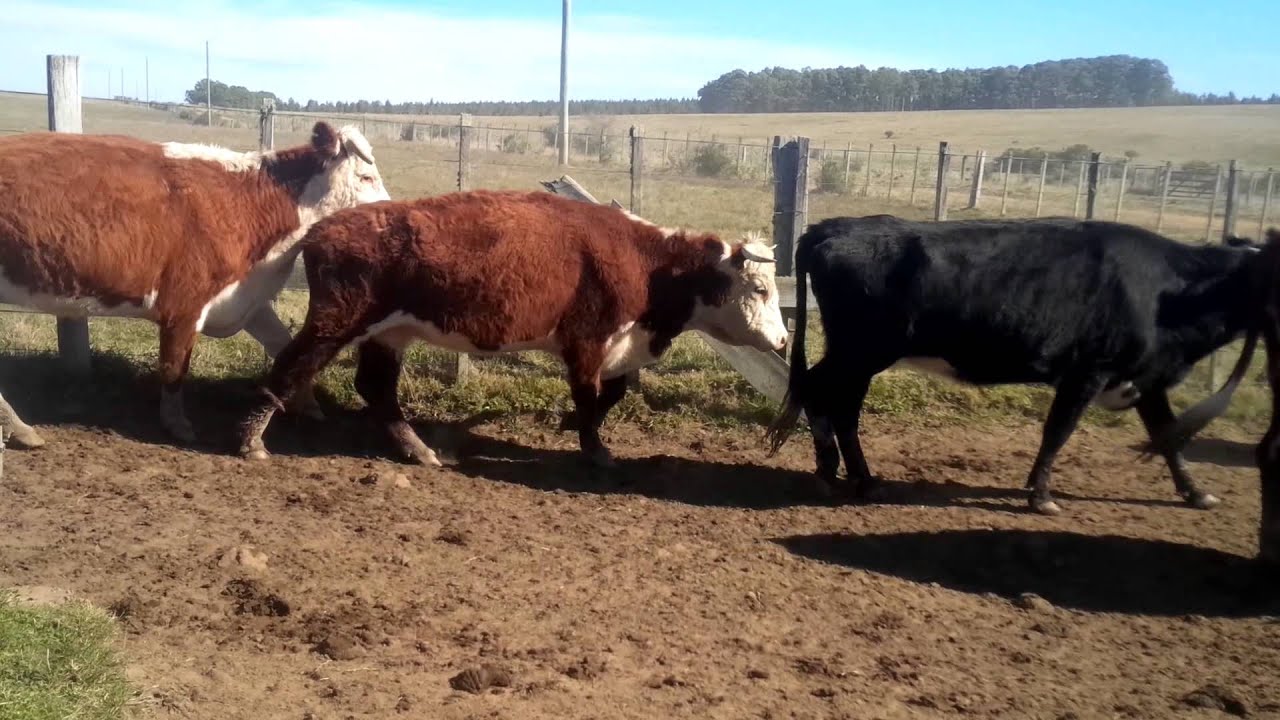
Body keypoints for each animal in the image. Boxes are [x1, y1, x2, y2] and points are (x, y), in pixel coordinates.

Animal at [0, 121, 390, 446]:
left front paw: (307, 403)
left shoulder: (245, 300)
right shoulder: (184, 304)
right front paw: (177, 425)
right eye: (366, 176)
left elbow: (287, 347)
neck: (249, 204)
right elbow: (174, 368)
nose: (390, 214)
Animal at [235, 189, 789, 467]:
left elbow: (610, 395)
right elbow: (590, 396)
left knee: (376, 390)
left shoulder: (615, 347)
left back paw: (419, 450)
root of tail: (323, 229)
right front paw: (595, 450)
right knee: (289, 368)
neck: (647, 263)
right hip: (337, 324)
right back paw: (251, 441)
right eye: (759, 289)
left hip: (386, 336)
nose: (784, 339)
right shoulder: (586, 342)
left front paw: (575, 429)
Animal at [764, 214, 1267, 516]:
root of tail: (834, 227)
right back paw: (849, 476)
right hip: (861, 354)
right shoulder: (1088, 371)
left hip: (858, 357)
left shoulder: (1145, 377)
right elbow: (1058, 431)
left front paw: (1196, 492)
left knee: (828, 399)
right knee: (826, 396)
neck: (1168, 292)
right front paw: (1041, 496)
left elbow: (1168, 435)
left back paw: (845, 474)